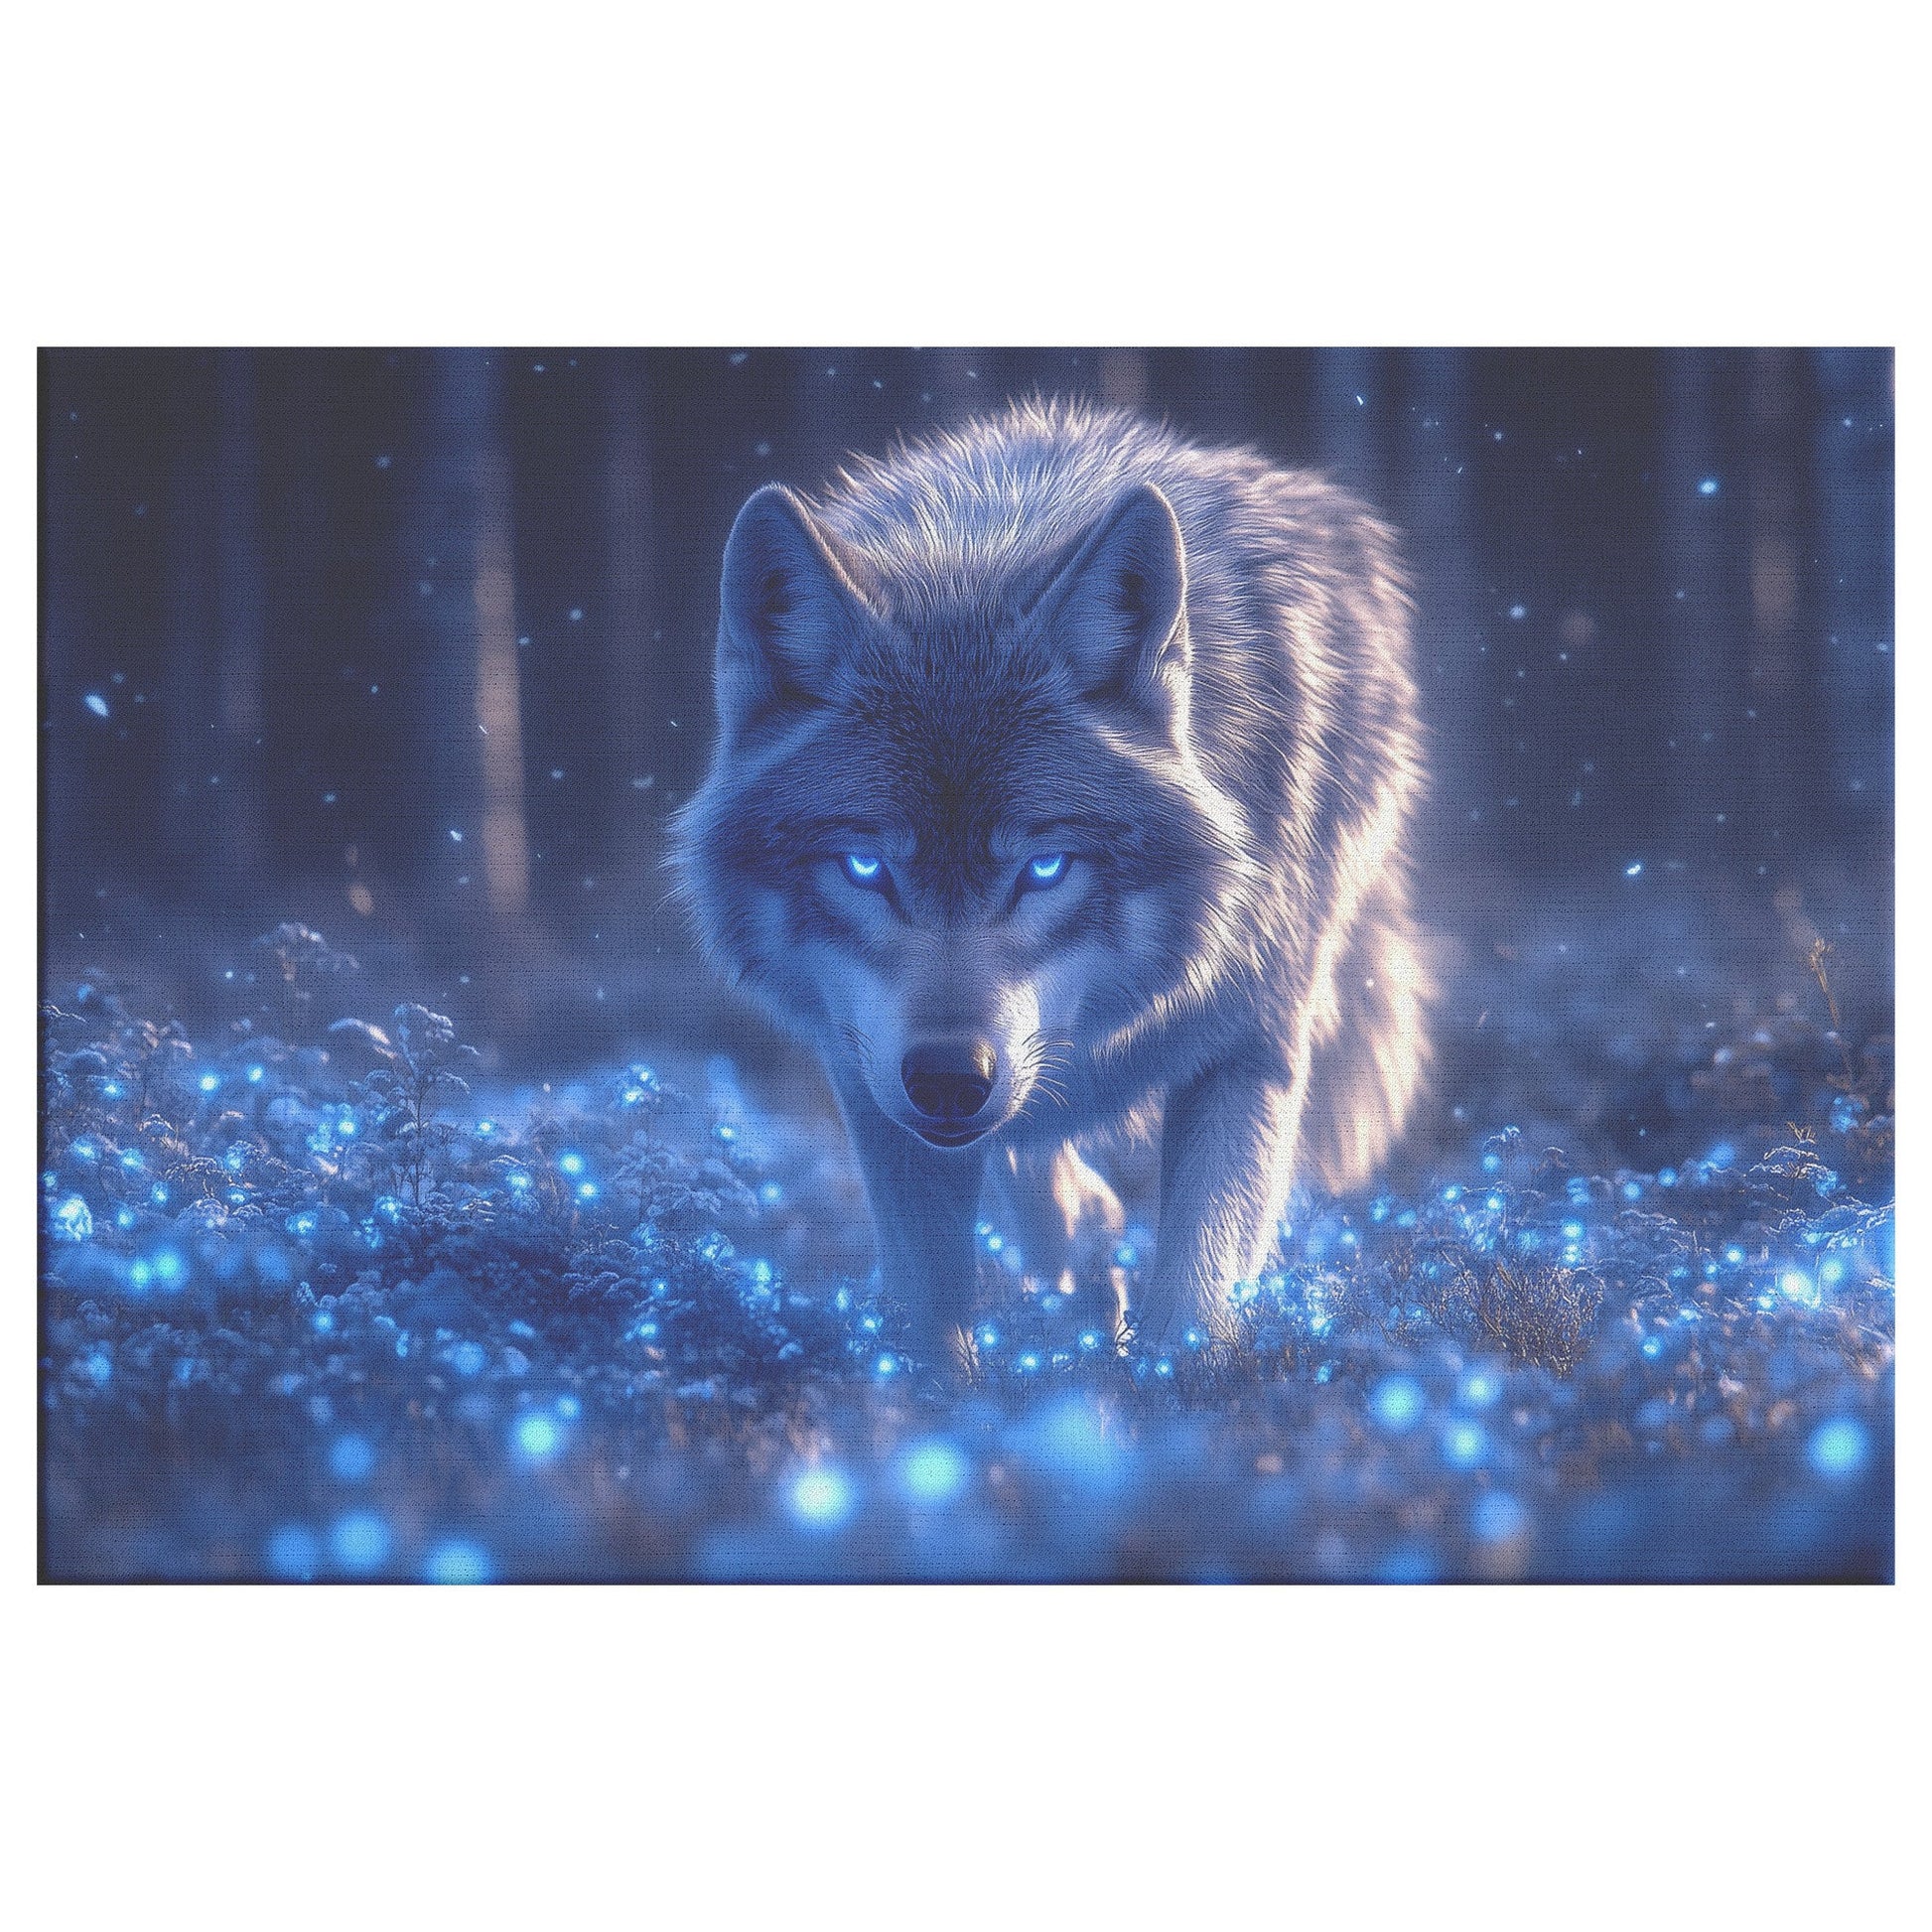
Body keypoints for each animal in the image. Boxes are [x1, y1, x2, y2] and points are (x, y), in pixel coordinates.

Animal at [672, 397, 1429, 1372]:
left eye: (1044, 867)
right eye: (867, 866)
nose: (949, 1079)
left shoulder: (1250, 1041)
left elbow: (1197, 1280)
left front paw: (1178, 1387)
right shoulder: (865, 1068)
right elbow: (927, 1298)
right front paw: (936, 1399)